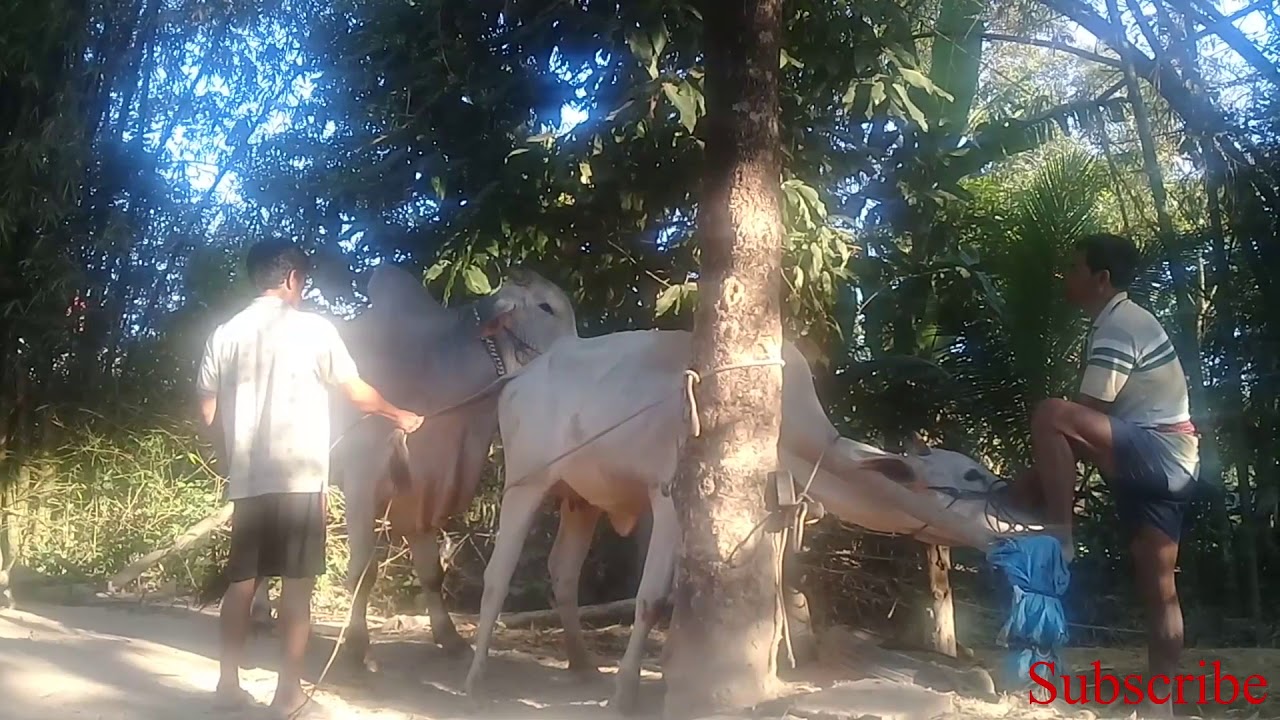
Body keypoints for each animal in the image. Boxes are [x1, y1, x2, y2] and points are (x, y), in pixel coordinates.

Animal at [461, 328, 1044, 713]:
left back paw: (581, 665)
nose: (1032, 526)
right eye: (970, 474)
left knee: (562, 573)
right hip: (524, 482)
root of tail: (519, 376)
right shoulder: (670, 496)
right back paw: (474, 678)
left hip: (580, 499)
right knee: (497, 577)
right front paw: (626, 693)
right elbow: (650, 599)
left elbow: (781, 596)